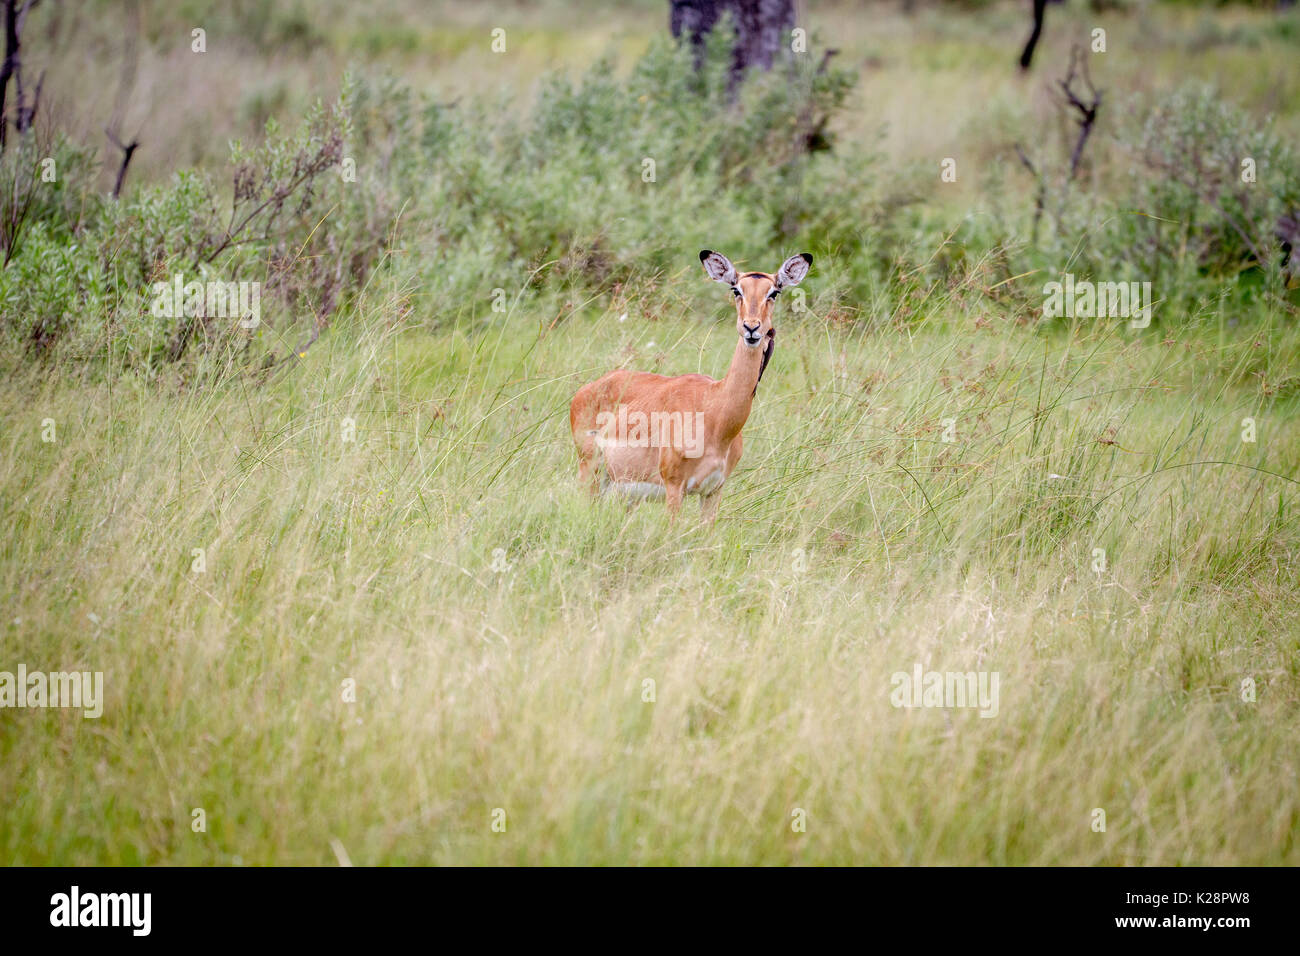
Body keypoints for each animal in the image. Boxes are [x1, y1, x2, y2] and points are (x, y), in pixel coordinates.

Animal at [569, 249, 812, 522]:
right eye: (736, 289)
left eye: (774, 292)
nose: (752, 327)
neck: (715, 411)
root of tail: (587, 389)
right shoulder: (675, 486)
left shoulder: (713, 491)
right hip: (590, 471)